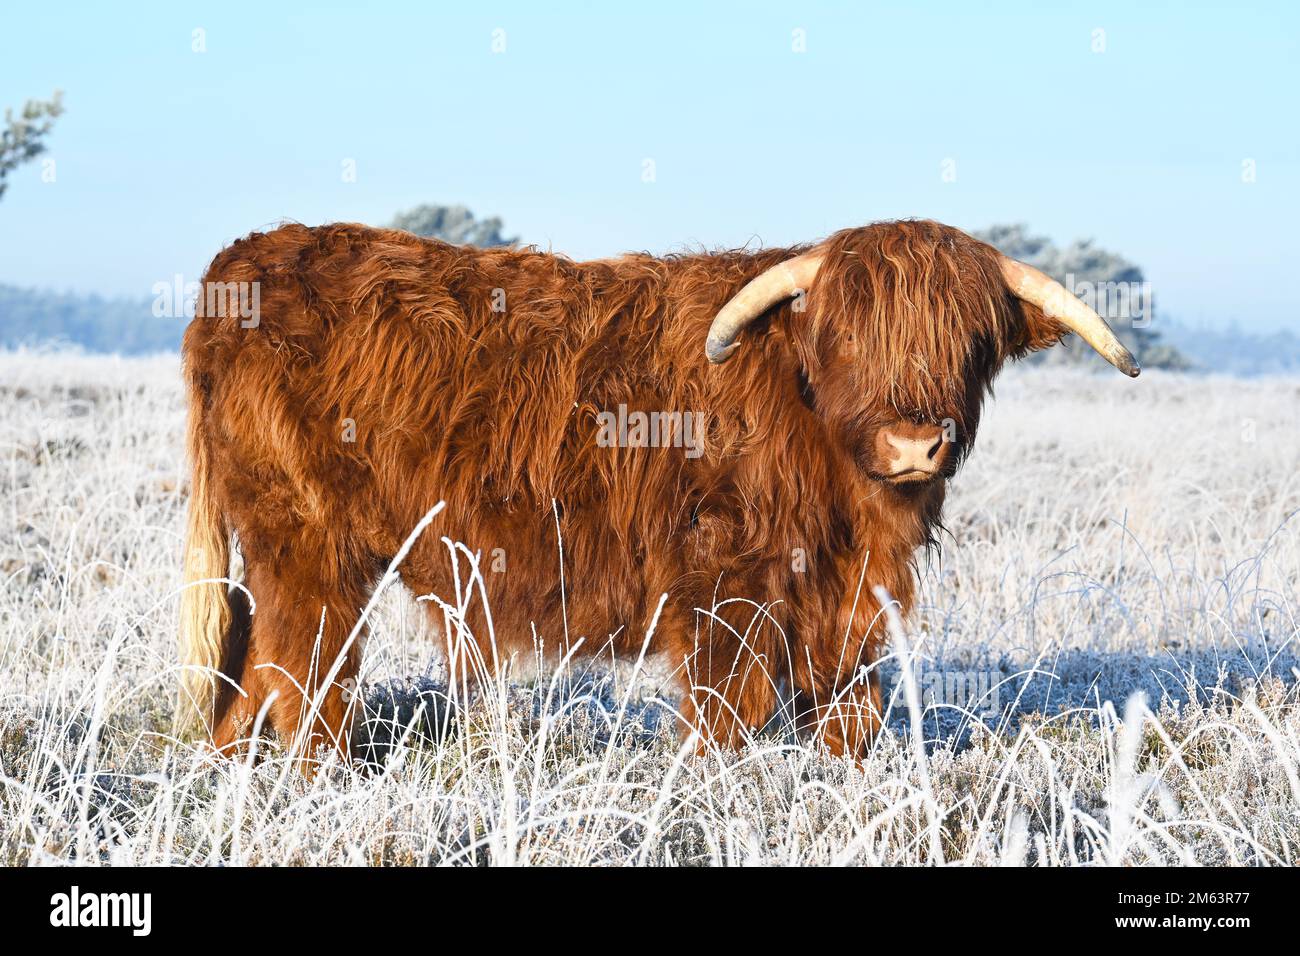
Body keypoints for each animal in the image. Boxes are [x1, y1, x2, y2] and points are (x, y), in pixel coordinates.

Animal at [177, 218, 1137, 763]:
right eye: (845, 334)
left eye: (969, 340)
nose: (914, 442)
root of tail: (247, 258)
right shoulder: (726, 585)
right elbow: (726, 710)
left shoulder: (849, 596)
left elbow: (847, 708)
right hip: (308, 544)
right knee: (302, 670)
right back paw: (320, 778)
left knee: (251, 671)